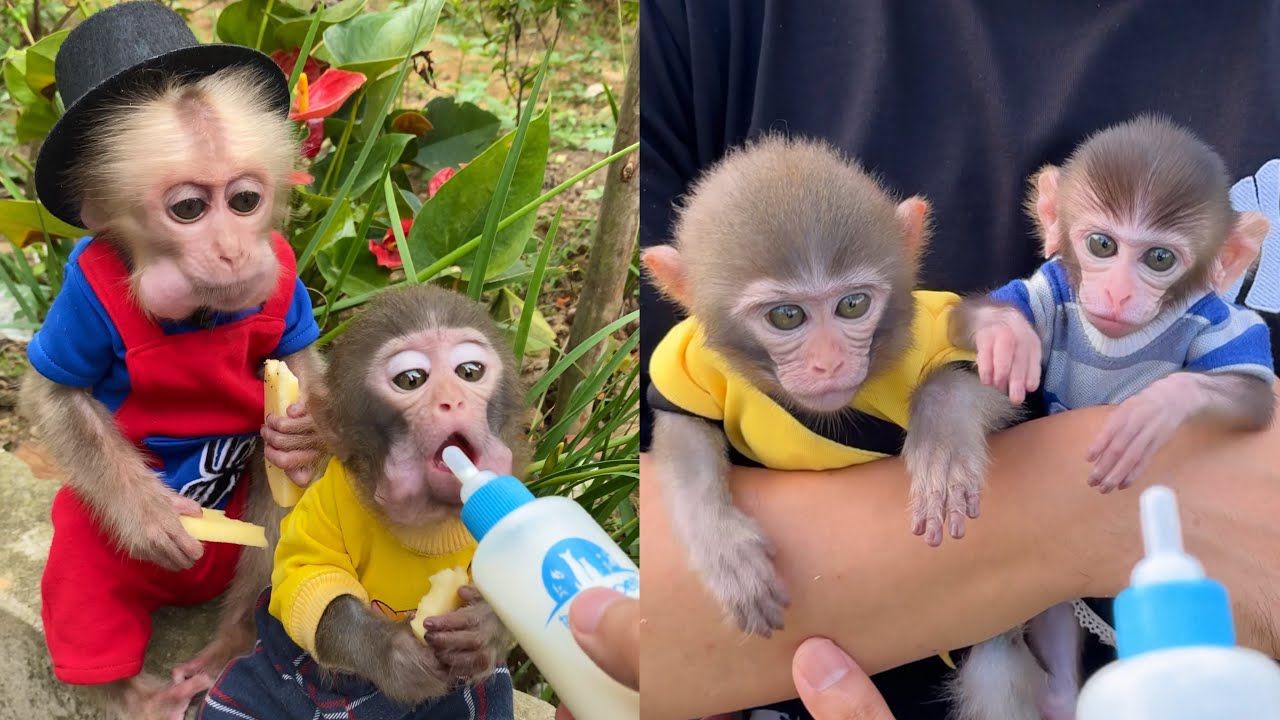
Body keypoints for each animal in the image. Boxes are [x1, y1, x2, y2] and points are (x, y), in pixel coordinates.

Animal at [22, 4, 328, 718]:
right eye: (189, 209)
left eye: (244, 201)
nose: (233, 252)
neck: (199, 320)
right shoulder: (82, 289)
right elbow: (57, 395)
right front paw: (153, 516)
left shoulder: (284, 273)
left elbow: (296, 354)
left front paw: (301, 436)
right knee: (81, 557)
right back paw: (130, 692)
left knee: (278, 511)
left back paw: (234, 638)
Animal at [199, 283, 523, 719]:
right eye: (411, 379)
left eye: (469, 372)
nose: (453, 401)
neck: (422, 527)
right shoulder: (325, 504)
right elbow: (304, 578)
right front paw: (392, 652)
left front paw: (485, 628)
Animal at [642, 134, 1021, 637]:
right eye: (787, 316)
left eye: (852, 305)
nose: (829, 363)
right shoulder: (690, 362)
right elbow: (685, 429)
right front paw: (724, 546)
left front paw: (943, 440)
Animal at [943, 115, 1275, 720]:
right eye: (1102, 245)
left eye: (1159, 259)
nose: (1118, 293)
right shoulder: (1053, 286)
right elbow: (974, 315)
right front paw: (1008, 335)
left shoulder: (1217, 317)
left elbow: (1252, 396)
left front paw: (1154, 409)